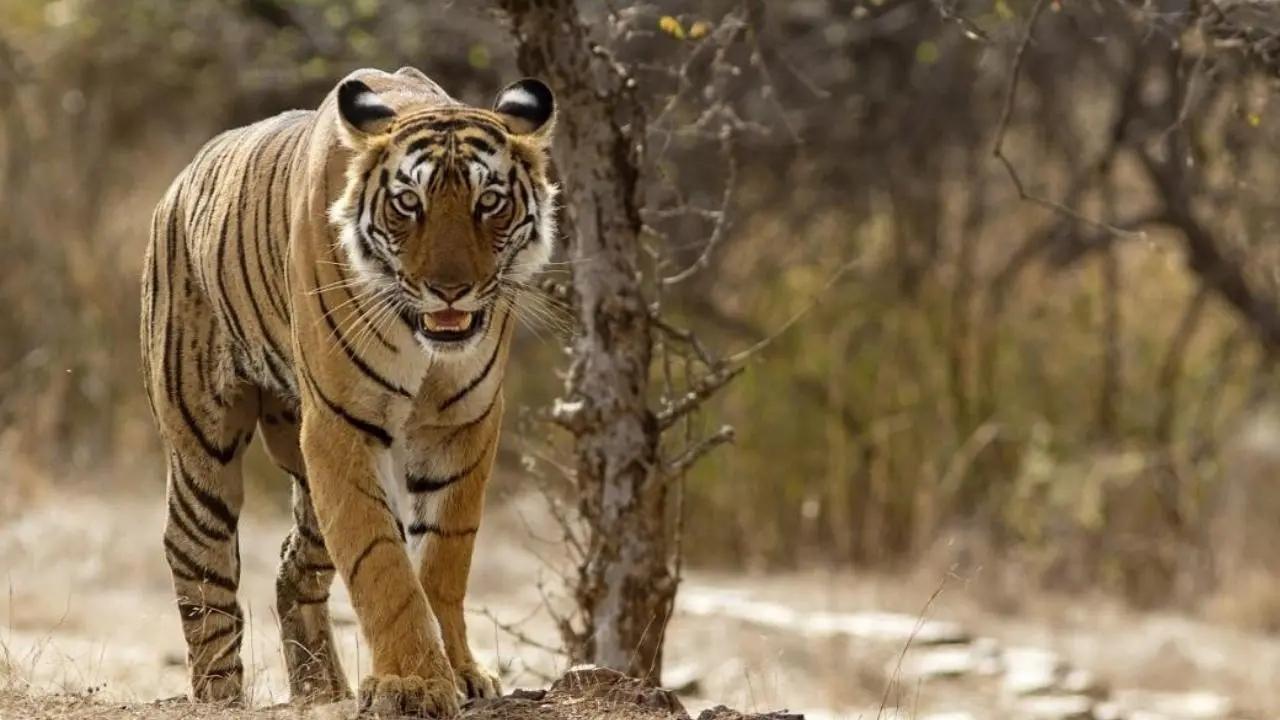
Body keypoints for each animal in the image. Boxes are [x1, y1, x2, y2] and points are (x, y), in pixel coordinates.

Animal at [139, 66, 558, 717]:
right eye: (408, 203)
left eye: (489, 201)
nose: (449, 291)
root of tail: (180, 182)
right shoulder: (341, 425)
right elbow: (380, 560)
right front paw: (412, 684)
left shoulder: (463, 422)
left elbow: (443, 556)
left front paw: (460, 672)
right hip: (201, 444)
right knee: (197, 558)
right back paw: (220, 696)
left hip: (303, 476)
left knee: (294, 567)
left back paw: (320, 689)